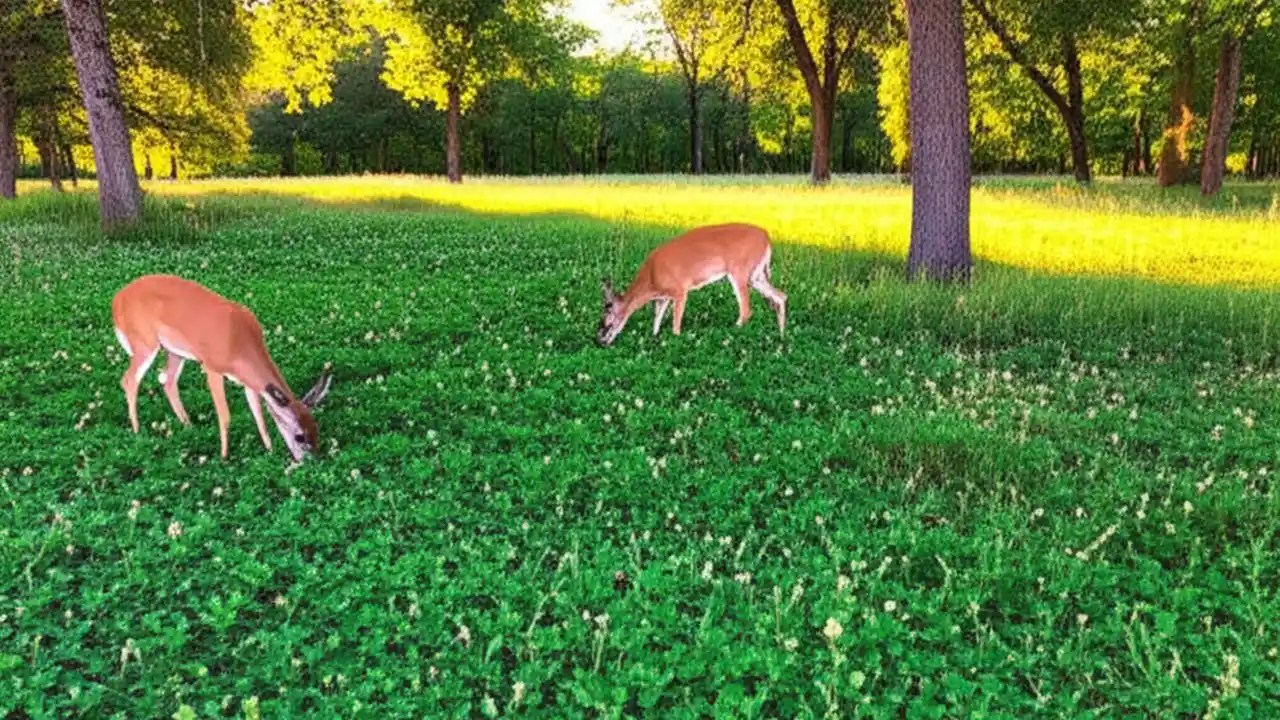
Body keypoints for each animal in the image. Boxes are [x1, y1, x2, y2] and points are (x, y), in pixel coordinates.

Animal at [111, 274, 332, 462]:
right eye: (300, 436)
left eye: (316, 429)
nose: (310, 462)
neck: (240, 345)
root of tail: (116, 301)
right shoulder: (212, 366)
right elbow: (225, 415)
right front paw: (224, 456)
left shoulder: (247, 381)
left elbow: (259, 414)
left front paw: (269, 450)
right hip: (143, 341)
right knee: (129, 379)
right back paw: (137, 431)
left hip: (175, 351)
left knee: (168, 381)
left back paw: (188, 426)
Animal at [596, 222, 787, 346]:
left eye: (606, 316)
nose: (599, 339)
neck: (651, 279)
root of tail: (766, 237)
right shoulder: (663, 297)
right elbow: (656, 319)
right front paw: (654, 338)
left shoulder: (680, 290)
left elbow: (675, 324)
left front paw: (674, 340)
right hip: (756, 275)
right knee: (781, 296)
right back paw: (782, 336)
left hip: (739, 269)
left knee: (746, 309)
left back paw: (730, 334)